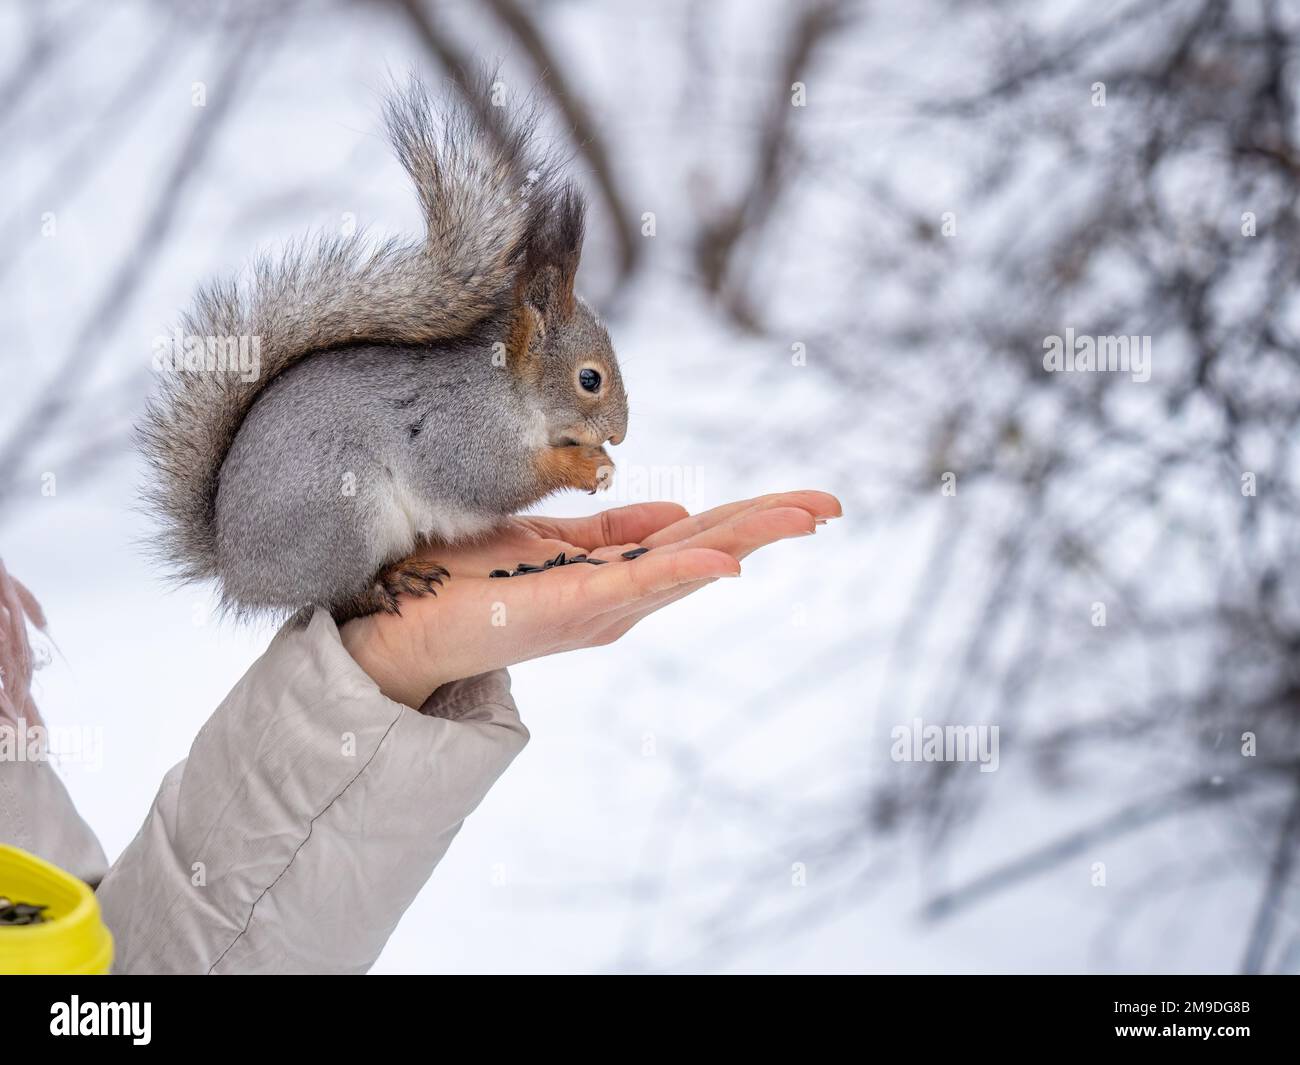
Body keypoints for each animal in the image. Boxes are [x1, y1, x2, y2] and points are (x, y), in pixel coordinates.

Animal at [137, 77, 628, 622]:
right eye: (590, 379)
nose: (621, 434)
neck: (510, 388)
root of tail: (238, 569)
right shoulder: (460, 429)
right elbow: (496, 479)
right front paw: (585, 466)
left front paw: (602, 460)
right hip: (344, 515)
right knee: (341, 594)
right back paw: (391, 582)